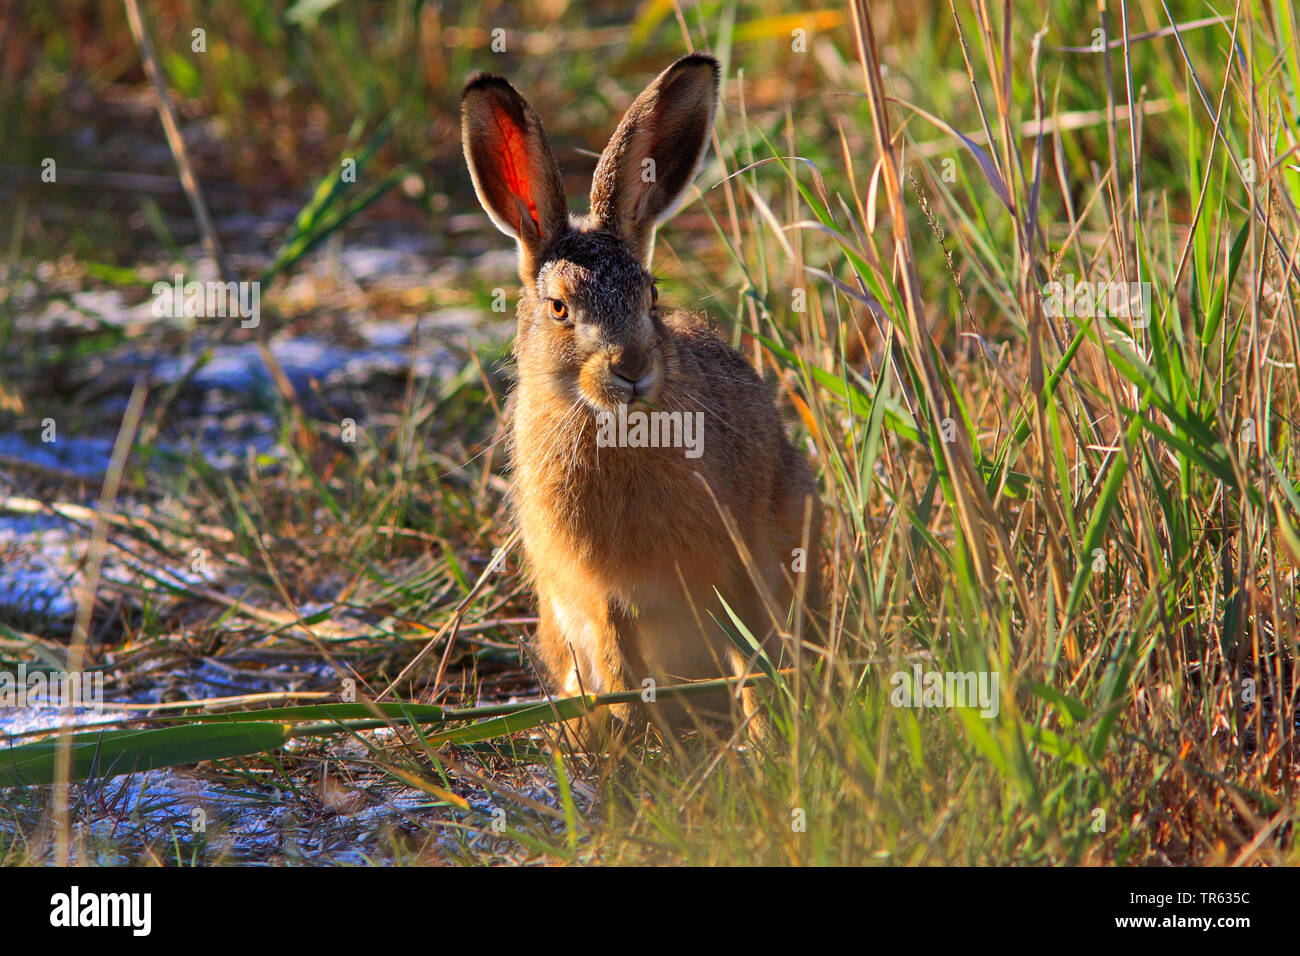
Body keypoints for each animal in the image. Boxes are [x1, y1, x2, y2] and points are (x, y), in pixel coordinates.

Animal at [460, 53, 821, 745]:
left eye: (650, 296)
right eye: (559, 308)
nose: (631, 368)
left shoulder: (734, 568)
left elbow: (751, 656)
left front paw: (767, 735)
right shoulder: (599, 597)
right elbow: (619, 662)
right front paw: (628, 731)